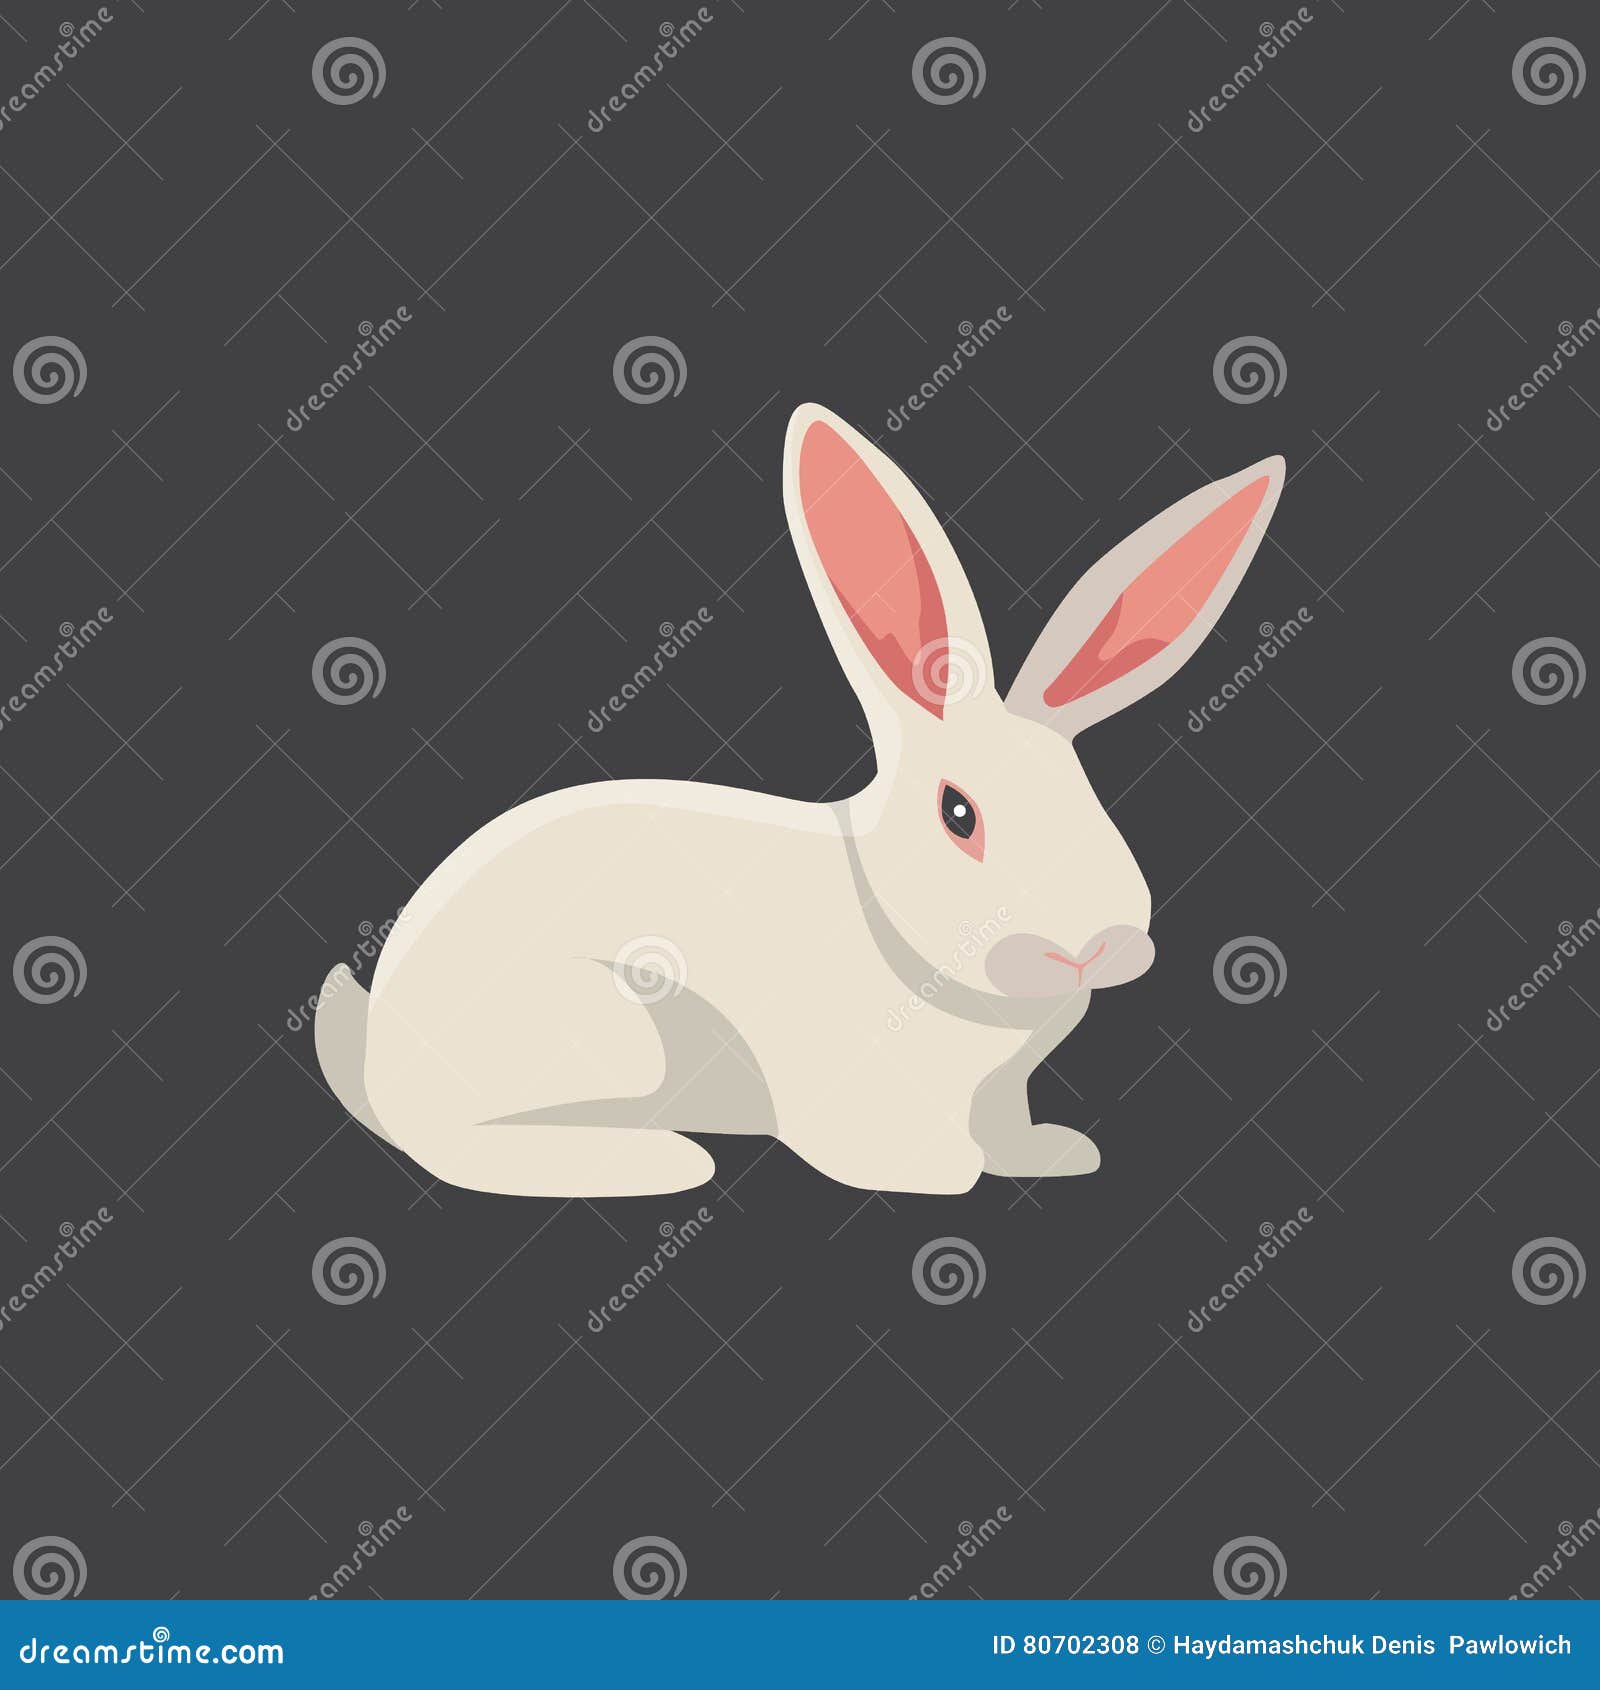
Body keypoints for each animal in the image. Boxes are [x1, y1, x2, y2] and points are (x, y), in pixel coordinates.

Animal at [315, 404, 1284, 1197]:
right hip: (603, 1030)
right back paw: (665, 1161)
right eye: (958, 815)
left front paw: (1056, 1155)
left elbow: (1006, 1126)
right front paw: (946, 1174)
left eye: (1092, 797)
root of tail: (381, 1062)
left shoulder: (1000, 1088)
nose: (1091, 949)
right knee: (458, 1145)